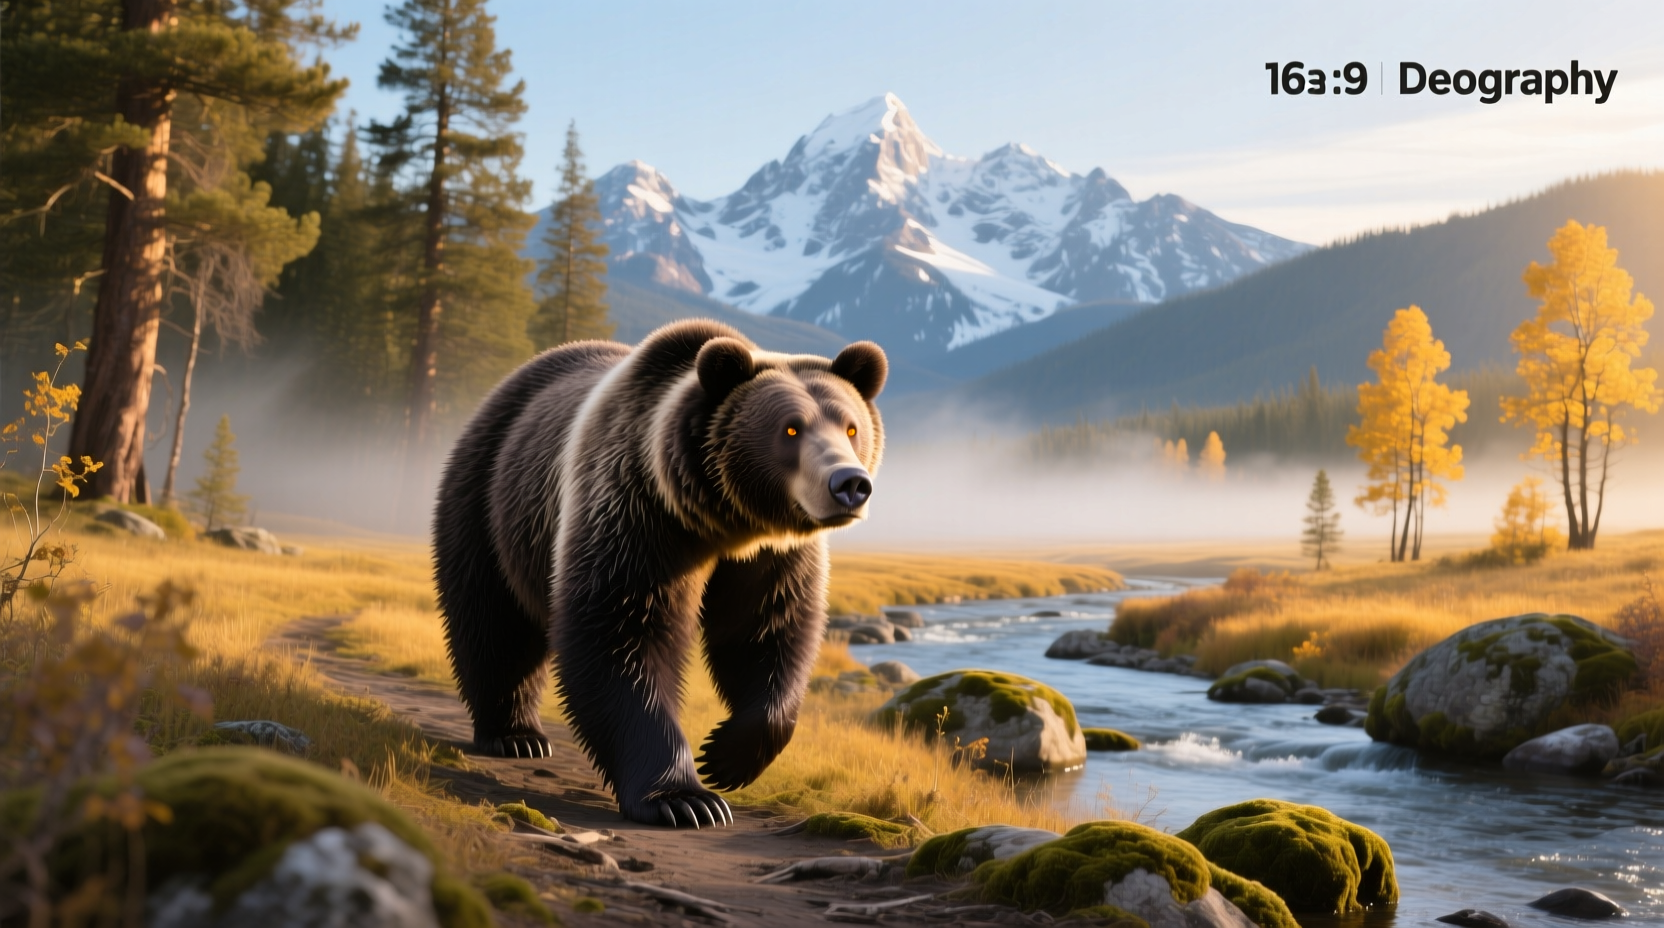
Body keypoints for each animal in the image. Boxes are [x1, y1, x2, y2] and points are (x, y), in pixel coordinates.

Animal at [433, 319, 887, 828]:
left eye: (851, 426)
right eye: (791, 427)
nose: (850, 484)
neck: (723, 522)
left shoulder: (770, 557)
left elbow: (767, 632)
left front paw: (726, 757)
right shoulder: (637, 516)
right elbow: (622, 635)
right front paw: (686, 799)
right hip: (491, 499)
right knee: (495, 621)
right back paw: (514, 734)